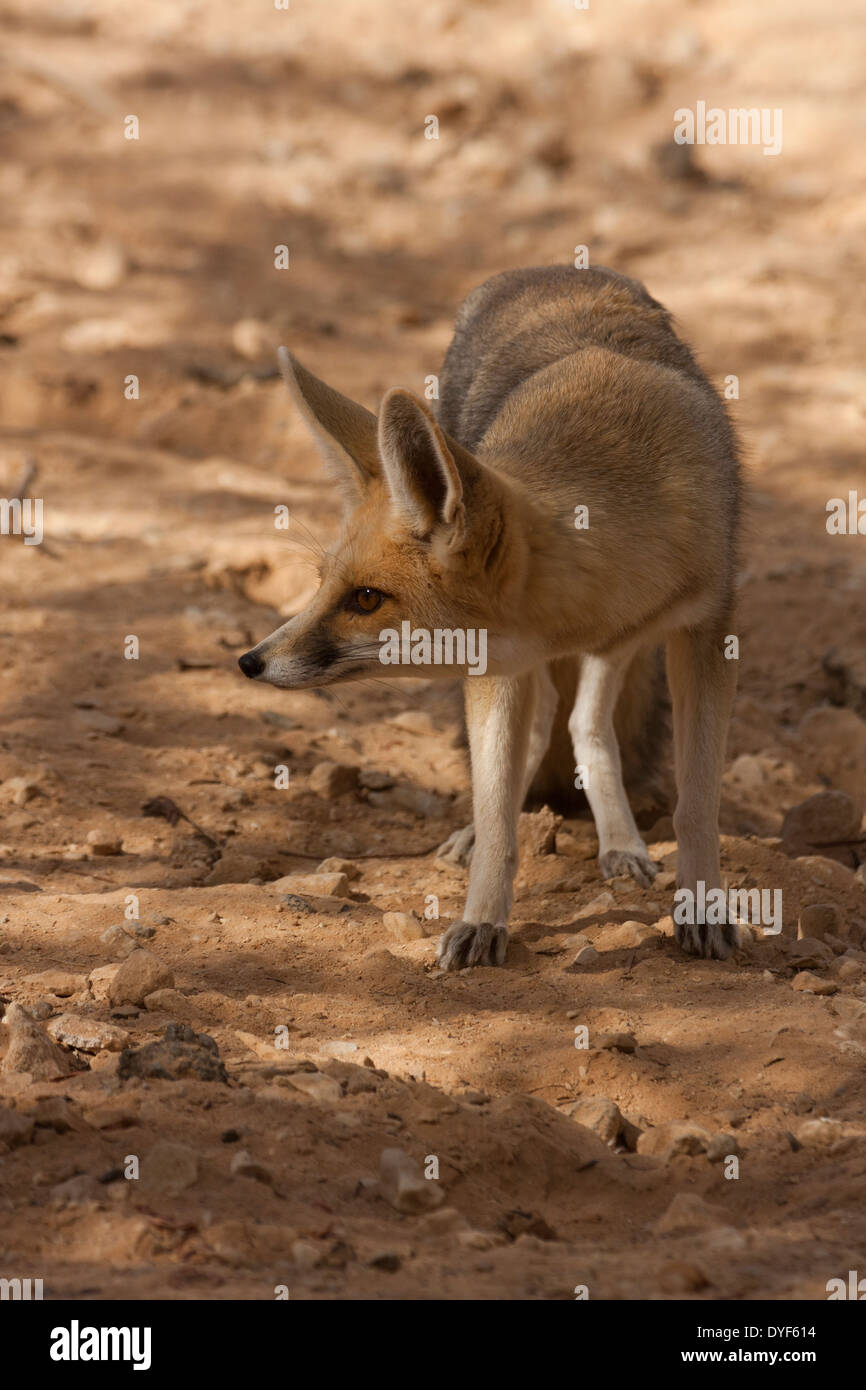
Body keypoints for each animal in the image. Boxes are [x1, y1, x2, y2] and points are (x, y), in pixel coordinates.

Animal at [239, 265, 741, 970]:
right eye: (322, 585)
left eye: (365, 598)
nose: (249, 661)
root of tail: (547, 270)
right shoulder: (498, 663)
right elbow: (501, 809)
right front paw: (483, 918)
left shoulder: (706, 629)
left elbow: (697, 806)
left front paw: (702, 908)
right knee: (541, 734)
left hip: (613, 650)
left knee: (585, 722)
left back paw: (620, 842)